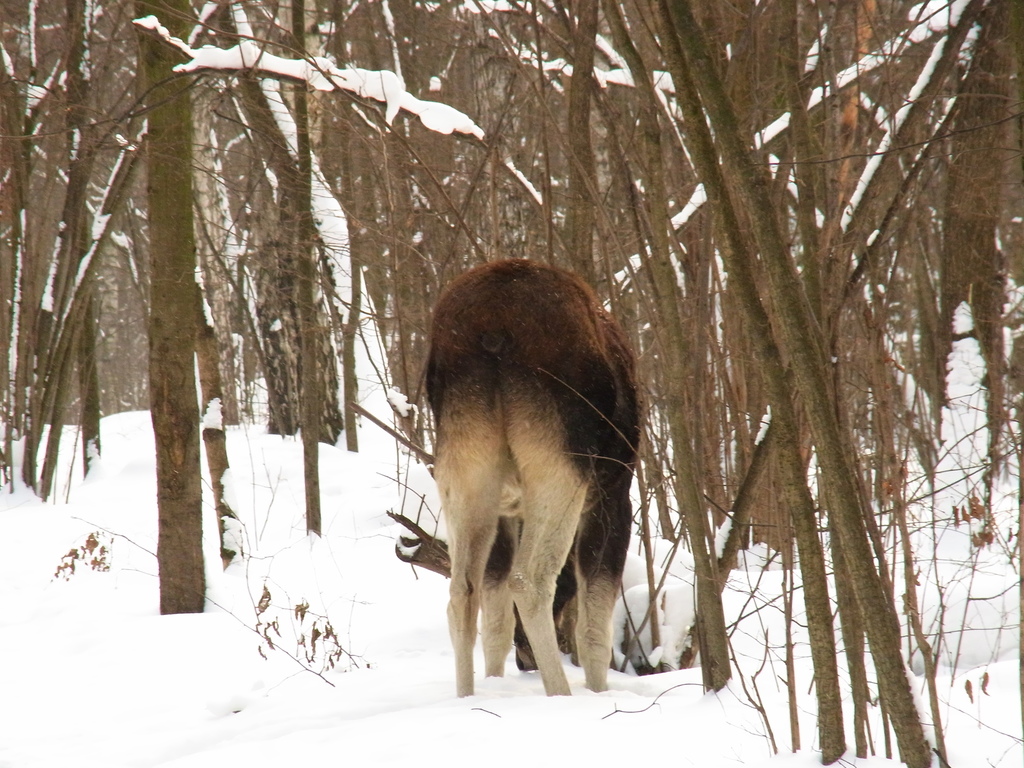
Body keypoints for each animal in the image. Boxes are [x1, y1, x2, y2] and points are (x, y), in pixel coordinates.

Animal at [425, 259, 639, 697]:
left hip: (464, 460)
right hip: (559, 462)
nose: (525, 661)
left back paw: (466, 695)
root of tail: (492, 327)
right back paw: (561, 693)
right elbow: (594, 629)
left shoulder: (507, 510)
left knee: (462, 592)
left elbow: (495, 620)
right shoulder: (614, 493)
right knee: (530, 580)